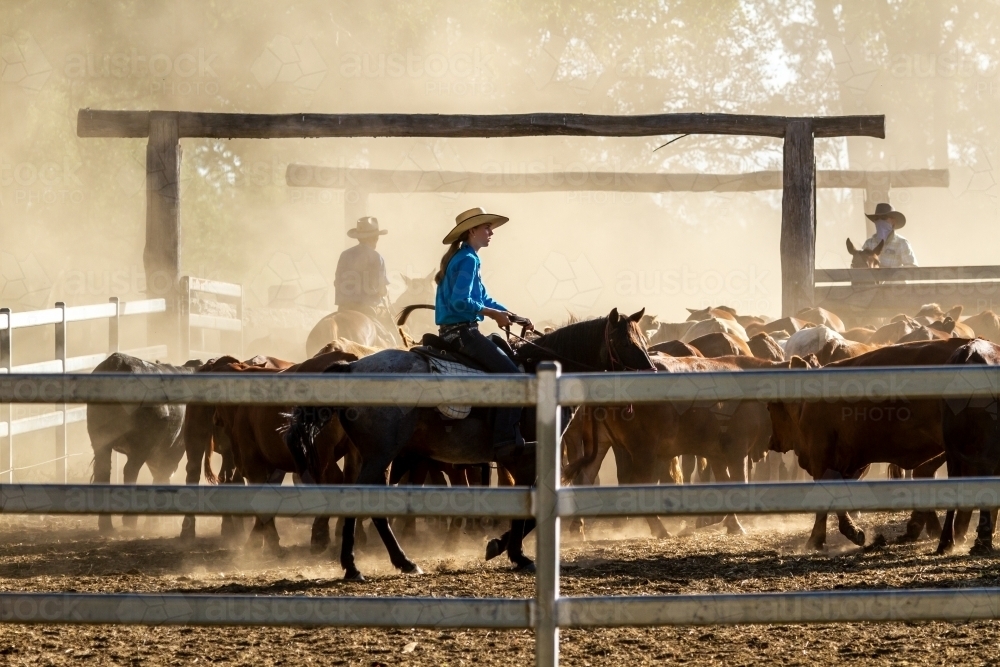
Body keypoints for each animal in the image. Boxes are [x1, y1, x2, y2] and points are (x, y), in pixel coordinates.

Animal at [282, 308, 654, 580]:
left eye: (643, 339)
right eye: (625, 342)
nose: (652, 375)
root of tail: (352, 366)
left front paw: (504, 547)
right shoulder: (525, 457)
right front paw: (511, 551)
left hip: (378, 456)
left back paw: (389, 562)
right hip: (380, 455)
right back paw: (365, 565)